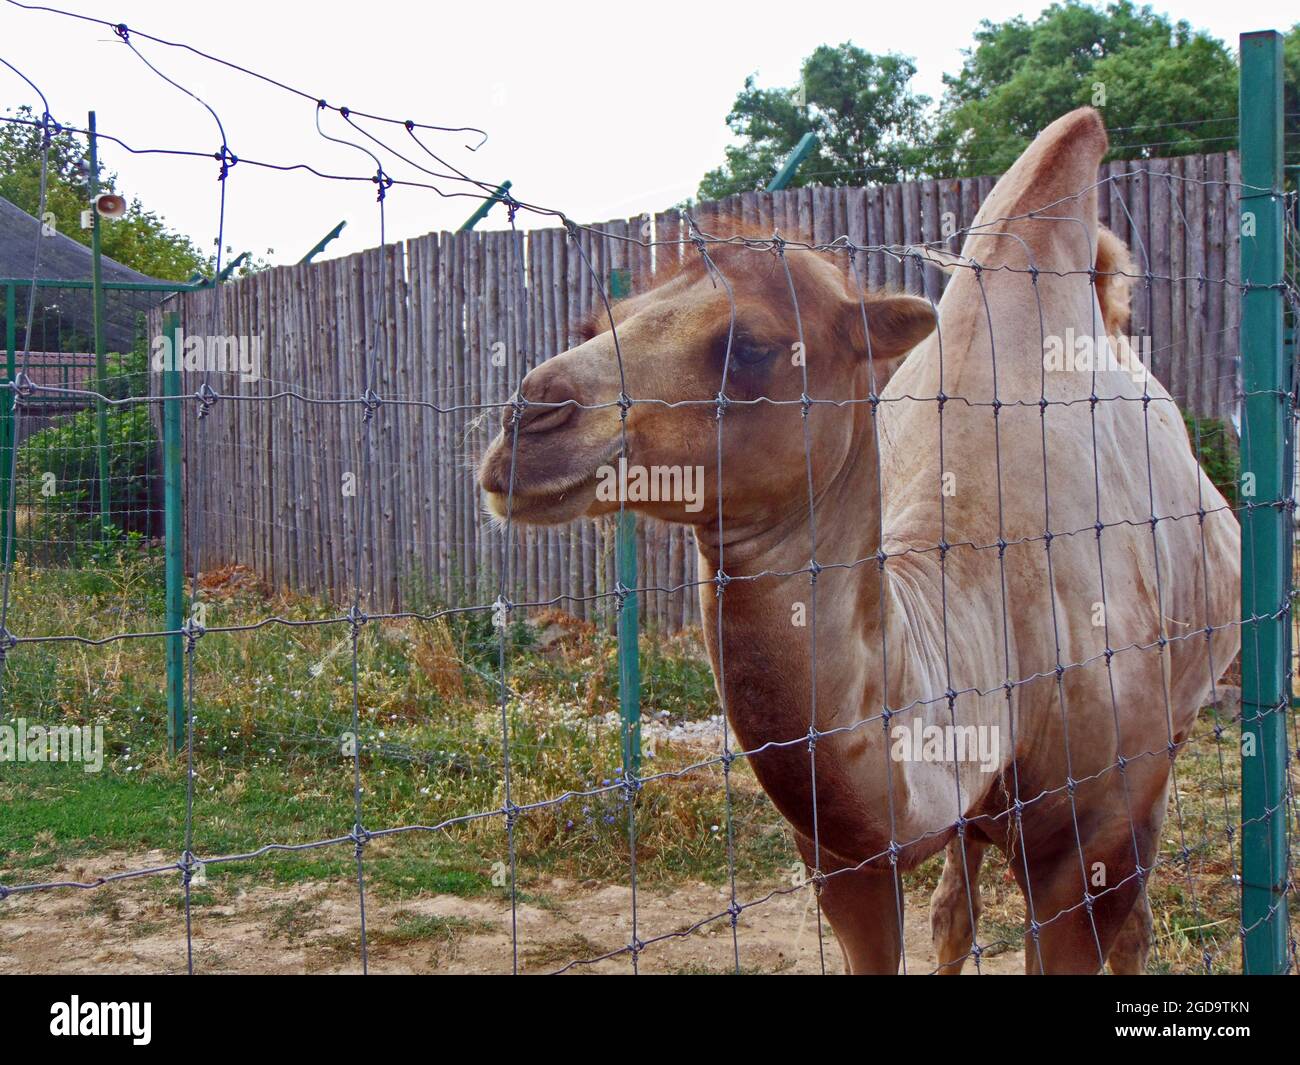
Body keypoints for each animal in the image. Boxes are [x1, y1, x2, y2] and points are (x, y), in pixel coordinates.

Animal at [478, 108, 1240, 974]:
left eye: (750, 345)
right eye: (592, 323)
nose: (525, 423)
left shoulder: (1093, 840)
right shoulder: (842, 857)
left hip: (1171, 735)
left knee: (1126, 918)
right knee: (957, 904)